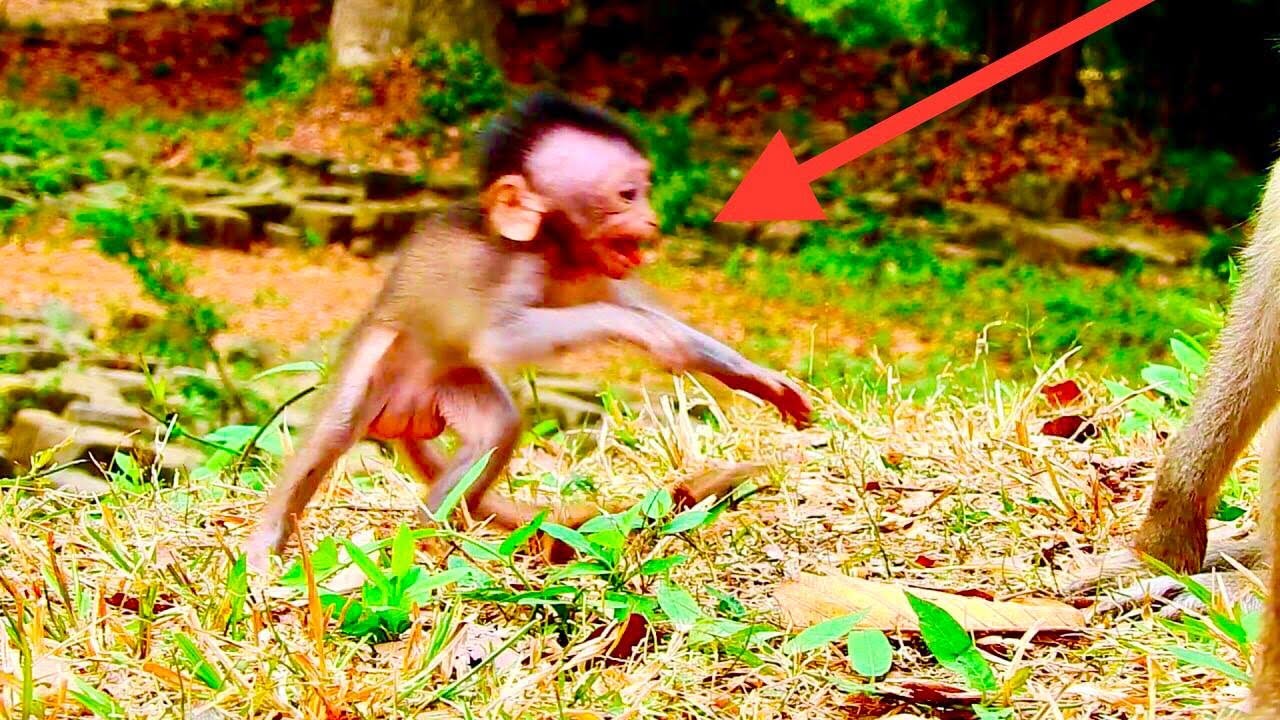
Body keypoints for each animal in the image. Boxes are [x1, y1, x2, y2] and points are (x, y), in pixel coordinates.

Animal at [243, 92, 813, 569]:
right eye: (628, 194)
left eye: (645, 193)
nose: (652, 220)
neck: (552, 247)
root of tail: (405, 414)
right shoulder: (517, 266)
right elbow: (502, 336)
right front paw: (646, 331)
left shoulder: (592, 273)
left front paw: (755, 378)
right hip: (379, 360)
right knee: (333, 432)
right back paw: (273, 547)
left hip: (444, 383)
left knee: (496, 427)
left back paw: (448, 528)